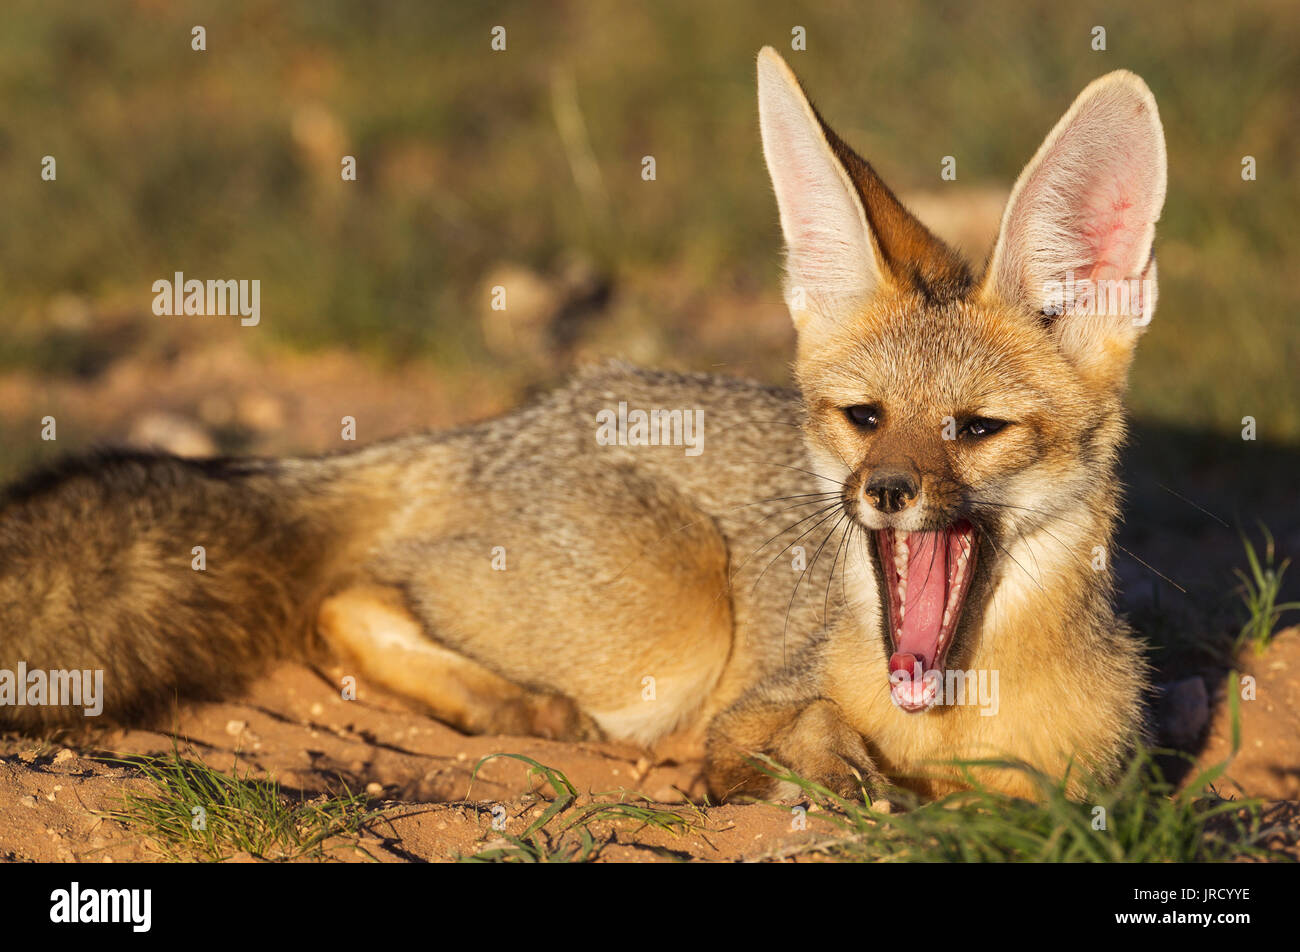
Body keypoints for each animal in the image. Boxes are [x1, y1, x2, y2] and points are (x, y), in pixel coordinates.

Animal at [0, 48, 1164, 804]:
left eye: (976, 429)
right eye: (864, 417)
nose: (880, 492)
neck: (957, 715)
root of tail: (504, 423)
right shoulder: (746, 709)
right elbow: (783, 751)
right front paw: (829, 768)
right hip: (672, 630)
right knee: (346, 596)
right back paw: (514, 705)